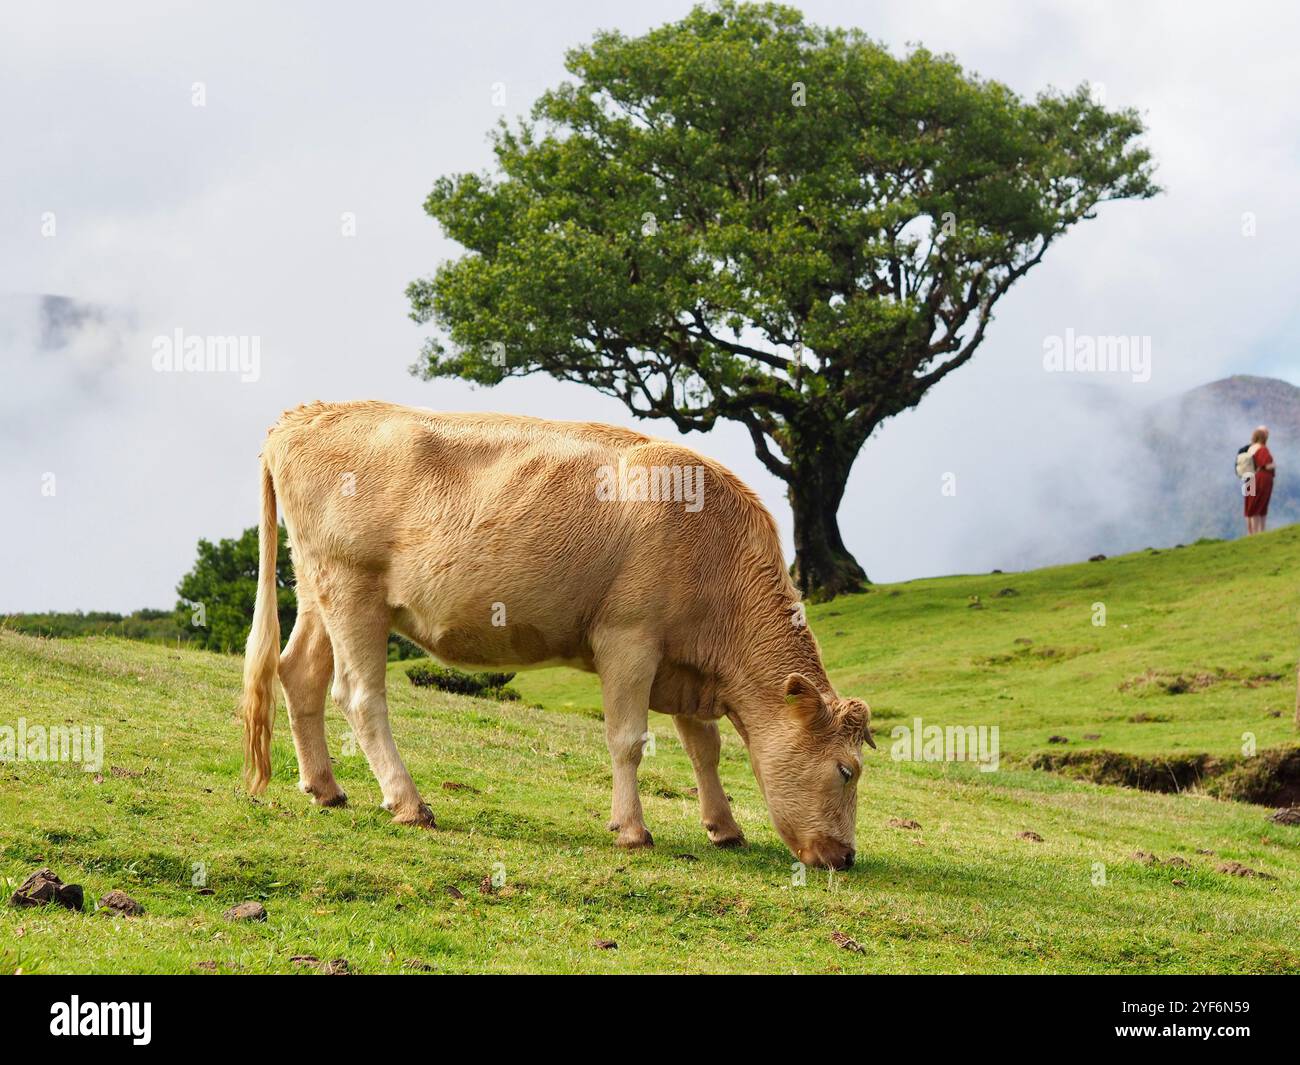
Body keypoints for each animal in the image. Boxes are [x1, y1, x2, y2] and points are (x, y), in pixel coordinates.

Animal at [240, 401, 873, 869]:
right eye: (847, 771)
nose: (844, 857)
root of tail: (305, 415)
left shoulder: (685, 662)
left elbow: (705, 749)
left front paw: (725, 826)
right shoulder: (629, 640)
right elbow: (628, 740)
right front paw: (632, 829)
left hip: (320, 588)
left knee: (301, 674)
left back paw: (325, 787)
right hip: (354, 589)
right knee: (360, 696)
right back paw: (408, 803)